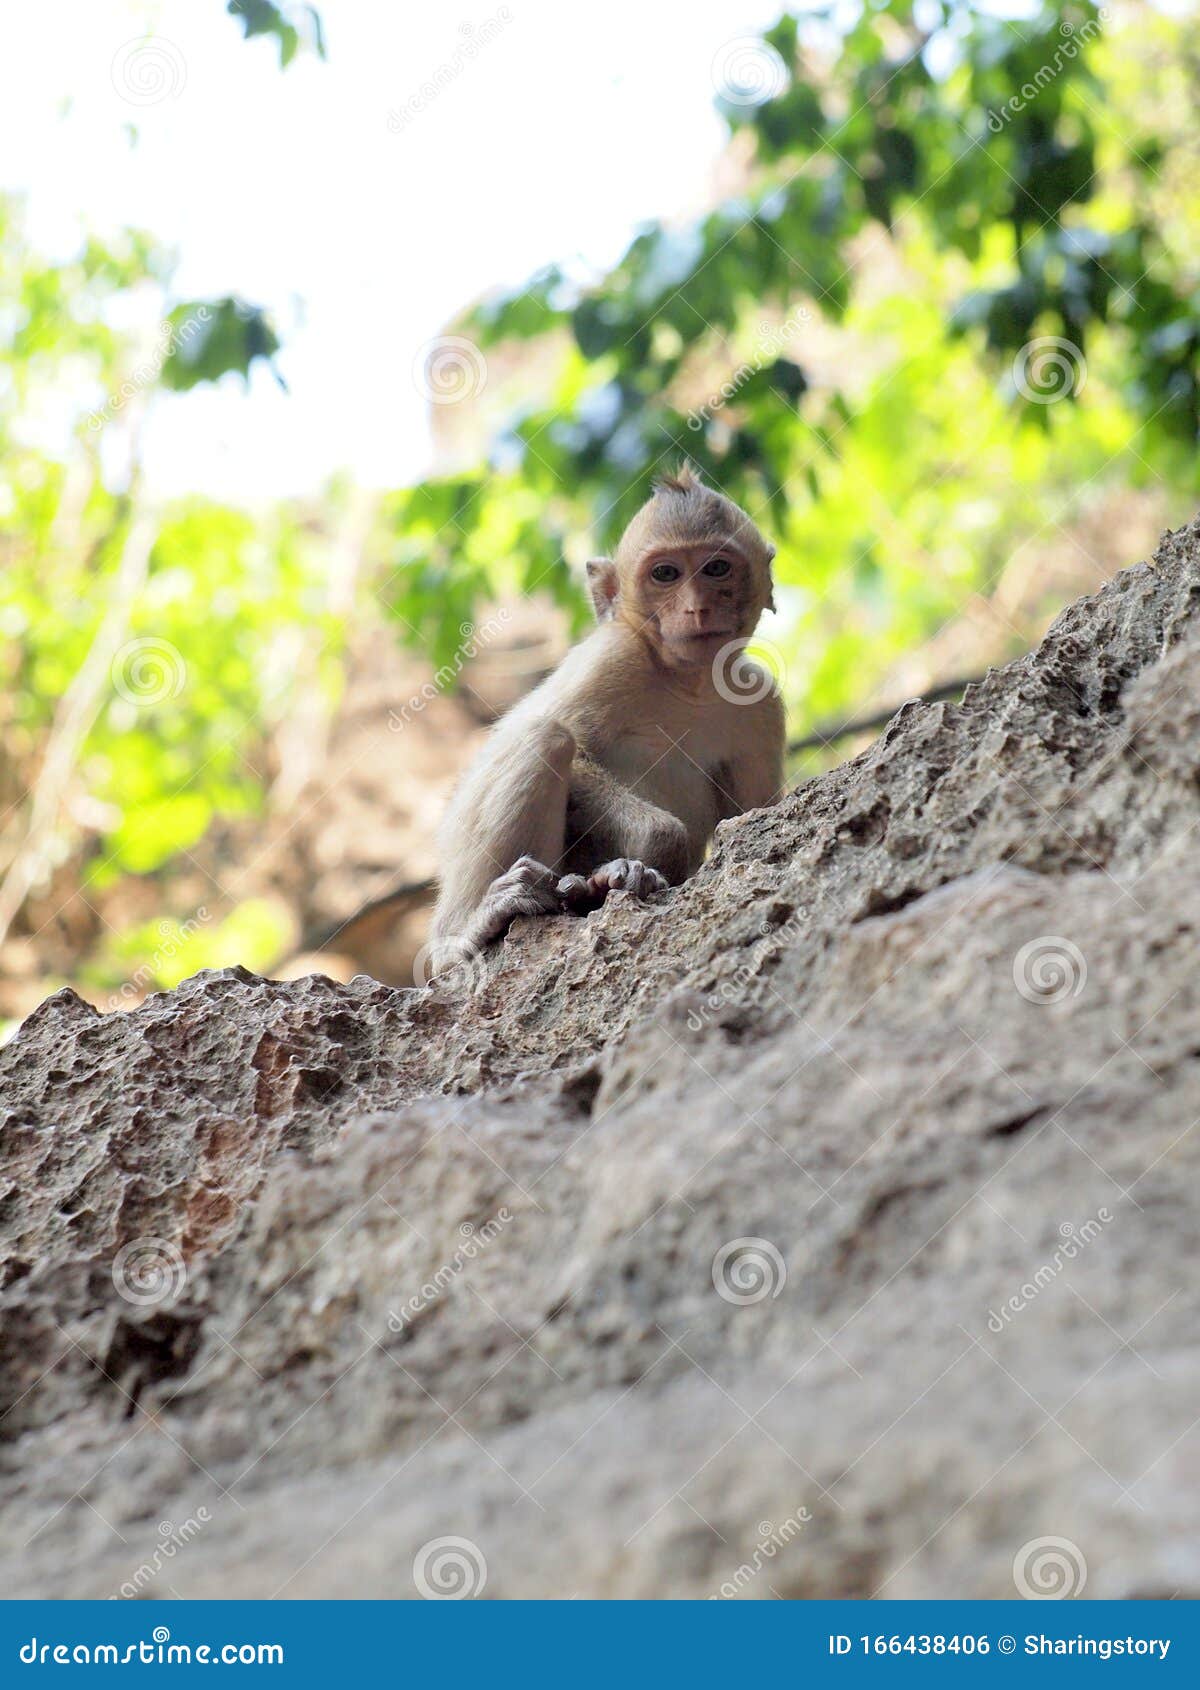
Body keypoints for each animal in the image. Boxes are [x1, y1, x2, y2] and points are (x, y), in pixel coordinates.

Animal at [428, 466, 784, 969]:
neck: (686, 684)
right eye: (665, 574)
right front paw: (654, 855)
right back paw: (471, 931)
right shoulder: (612, 657)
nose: (697, 606)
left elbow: (751, 817)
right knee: (544, 737)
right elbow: (575, 755)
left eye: (717, 568)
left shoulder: (762, 706)